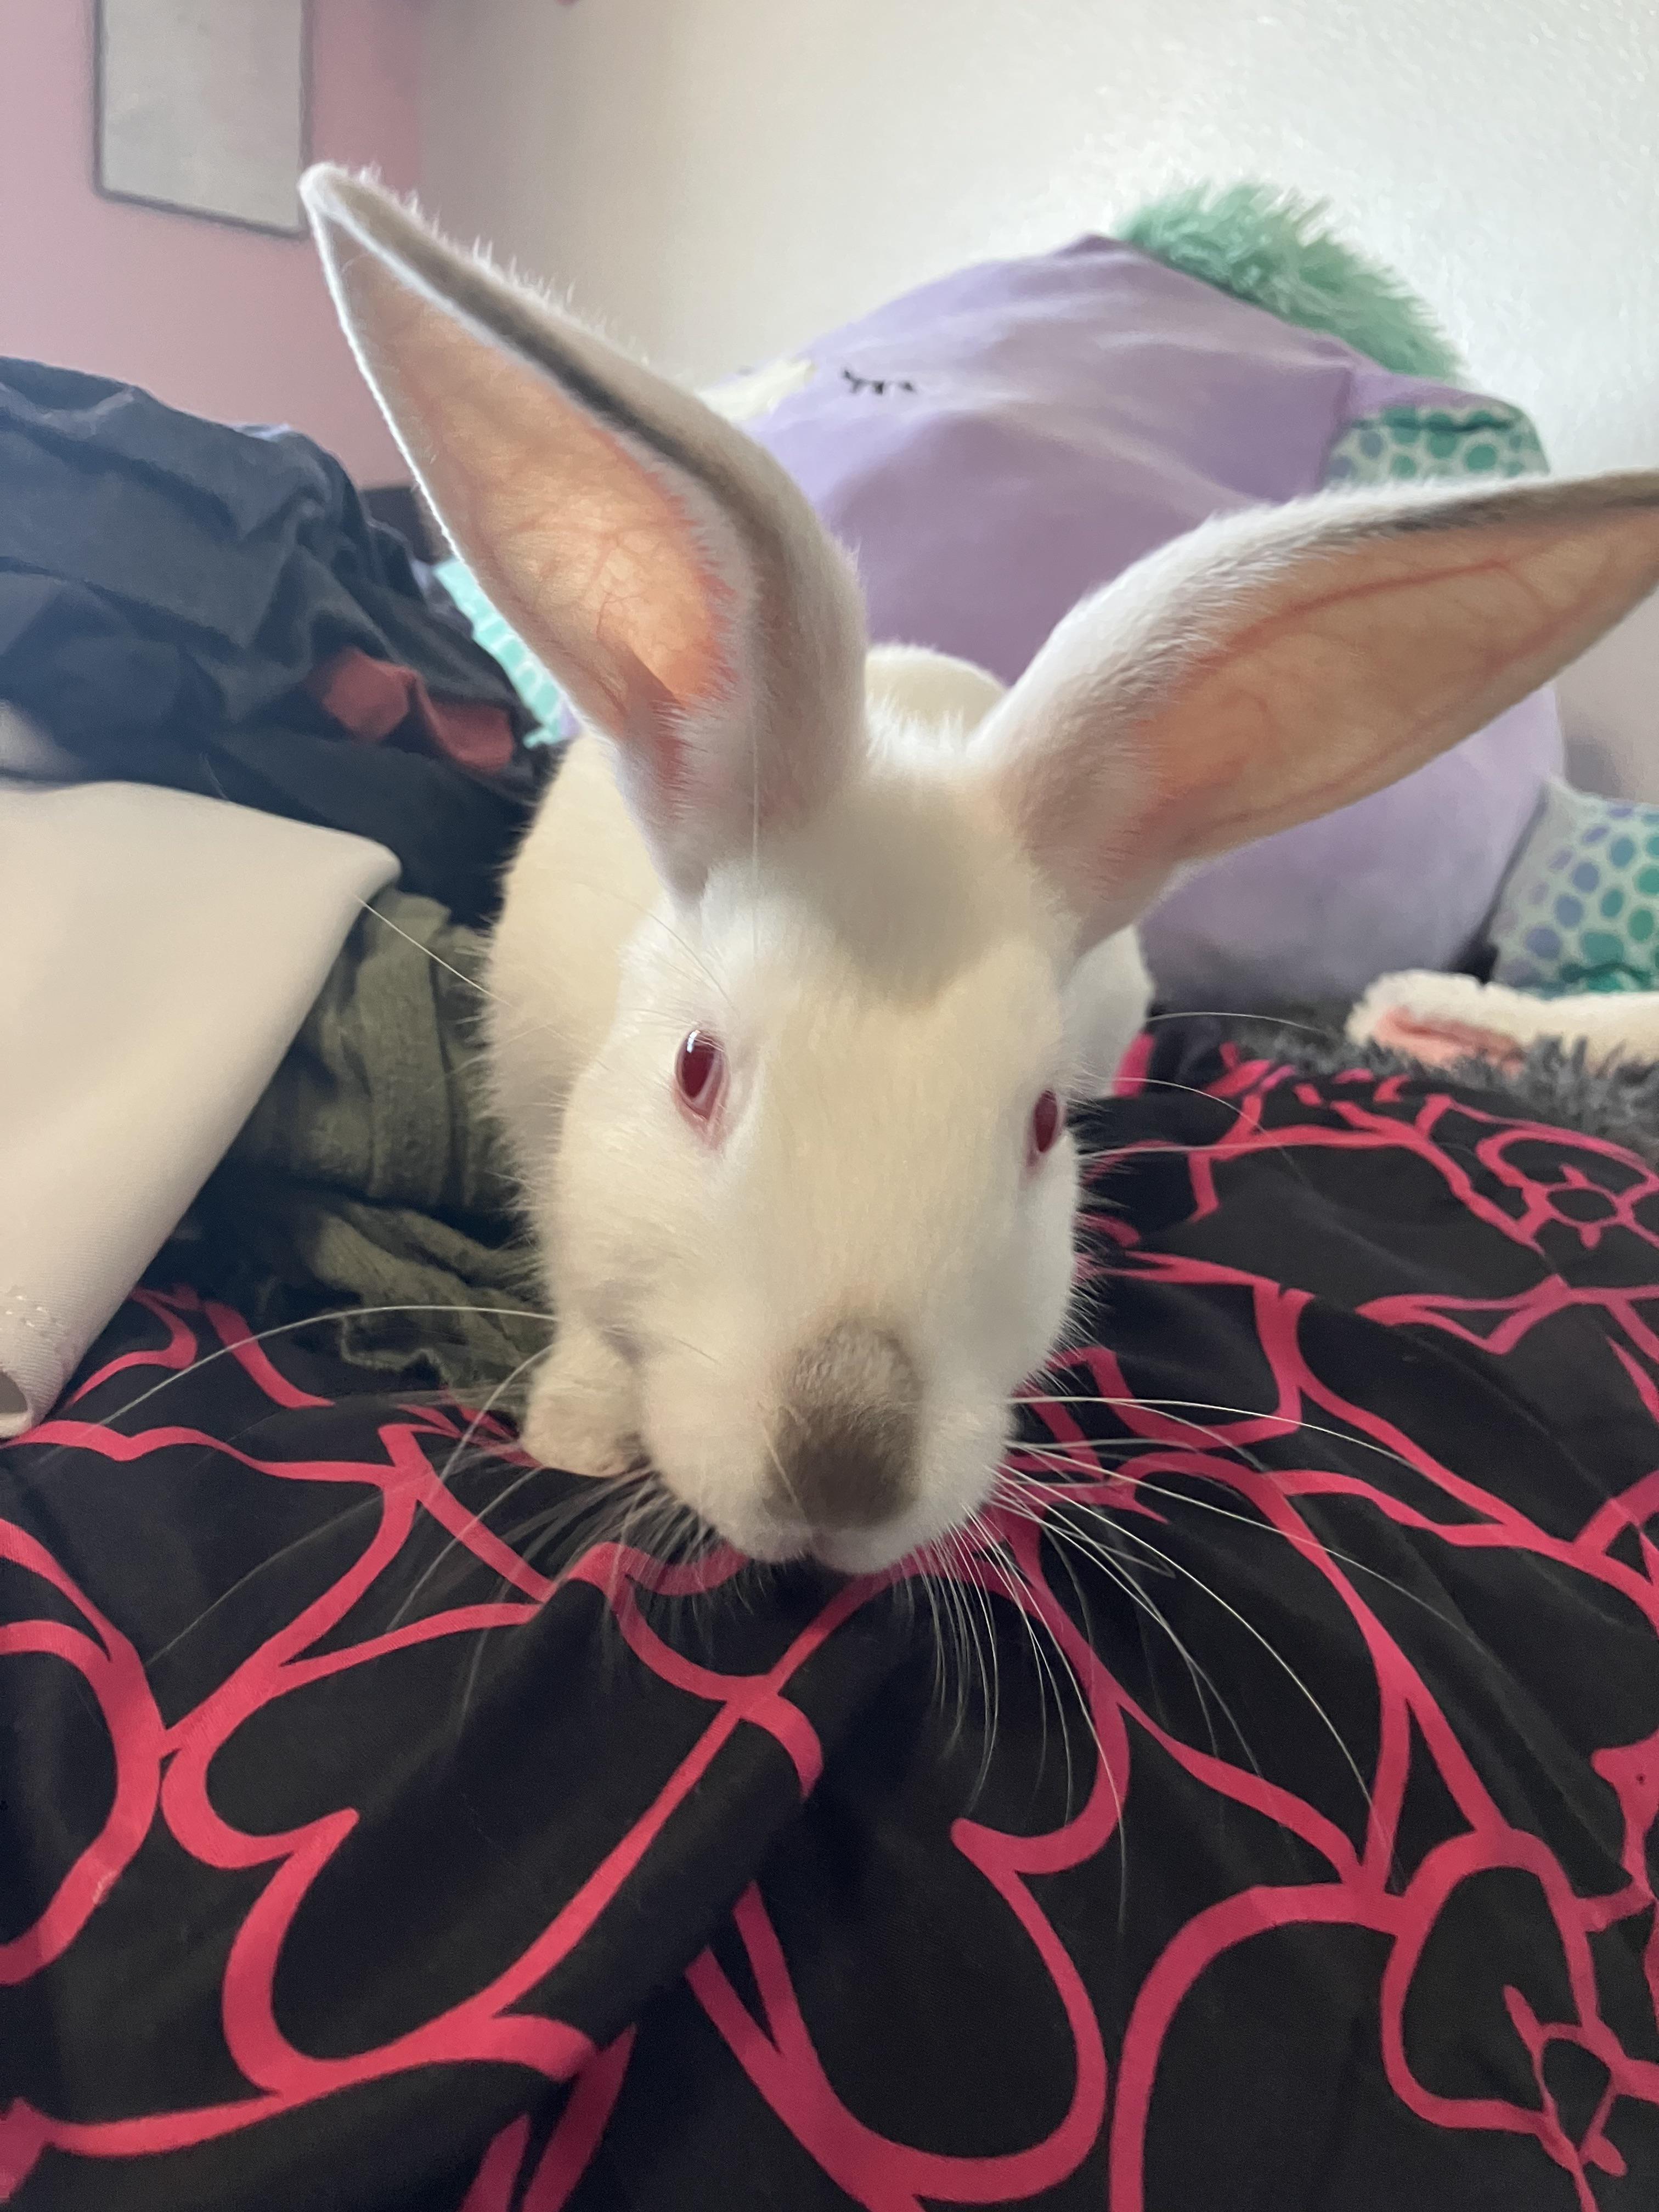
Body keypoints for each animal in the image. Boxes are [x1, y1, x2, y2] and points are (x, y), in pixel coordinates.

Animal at [302, 164, 1659, 1576]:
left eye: (1043, 1125)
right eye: (695, 1071)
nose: (840, 1472)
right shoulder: (544, 1122)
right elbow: (577, 1291)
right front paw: (574, 1430)